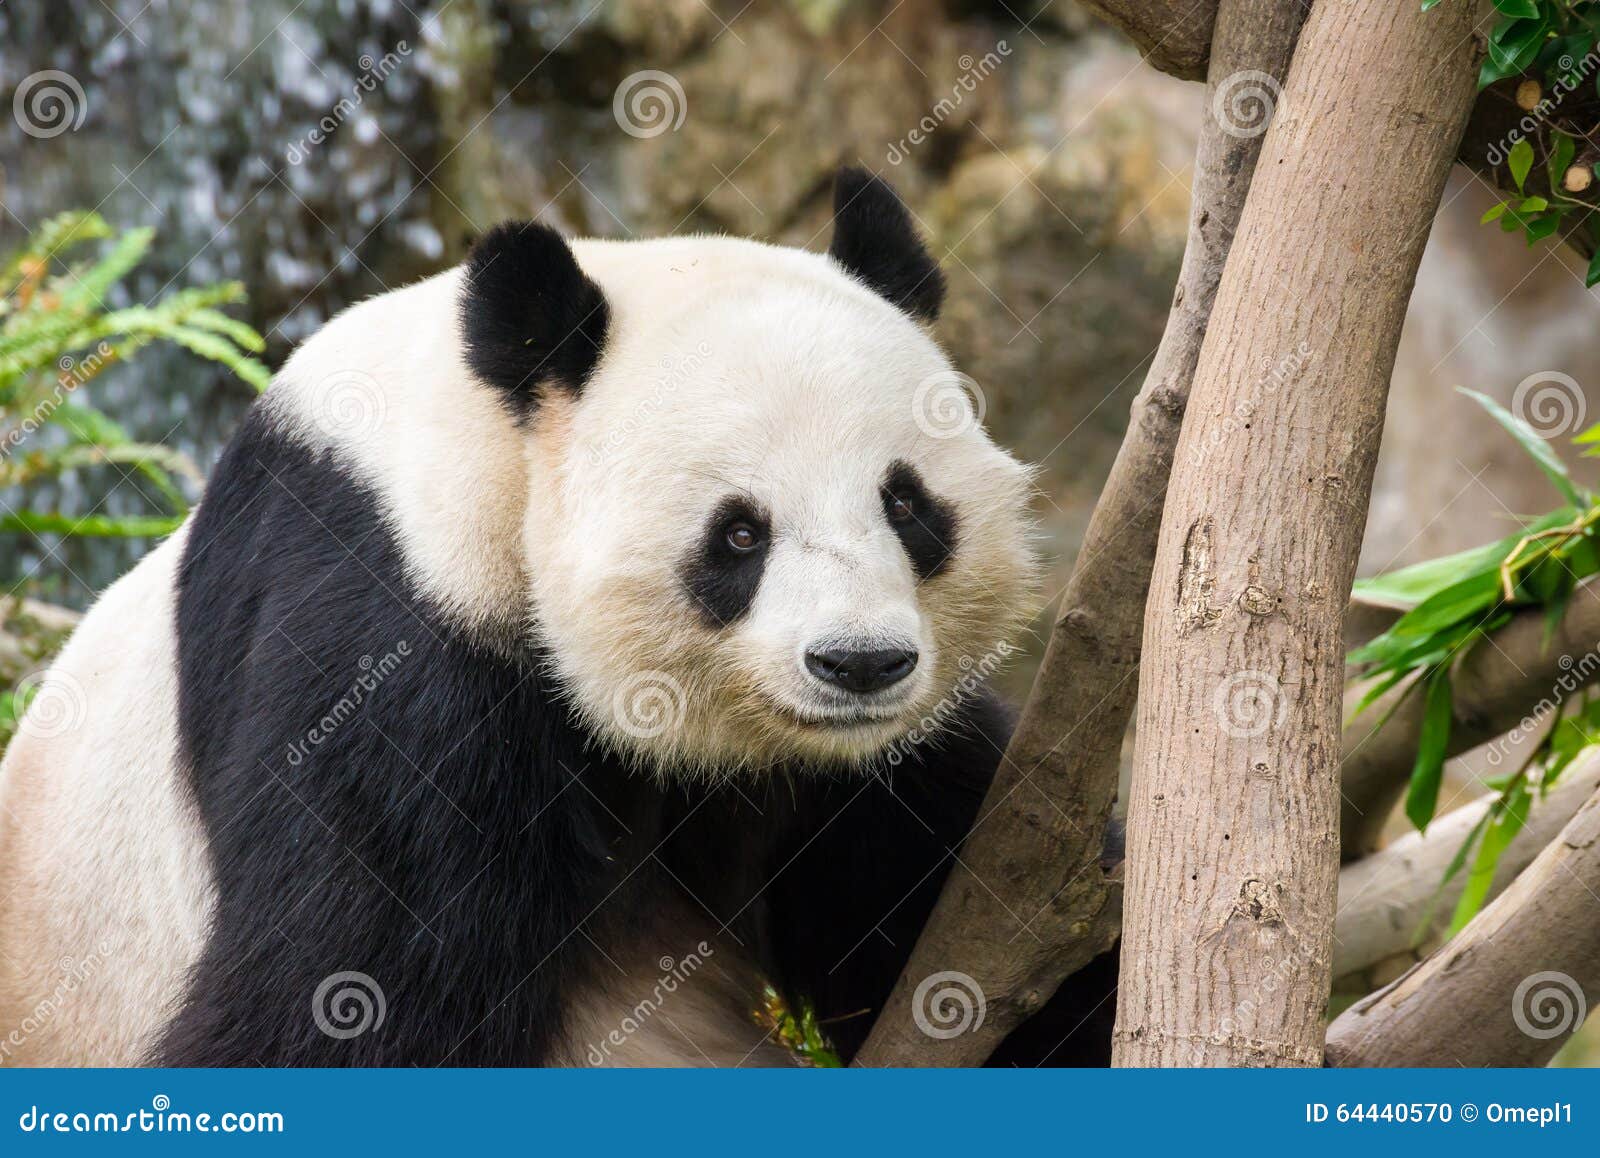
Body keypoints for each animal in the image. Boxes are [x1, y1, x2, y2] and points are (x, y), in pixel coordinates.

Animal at [0, 169, 1116, 1067]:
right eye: (738, 534)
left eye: (907, 505)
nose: (860, 664)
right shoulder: (385, 638)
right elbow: (339, 995)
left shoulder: (864, 772)